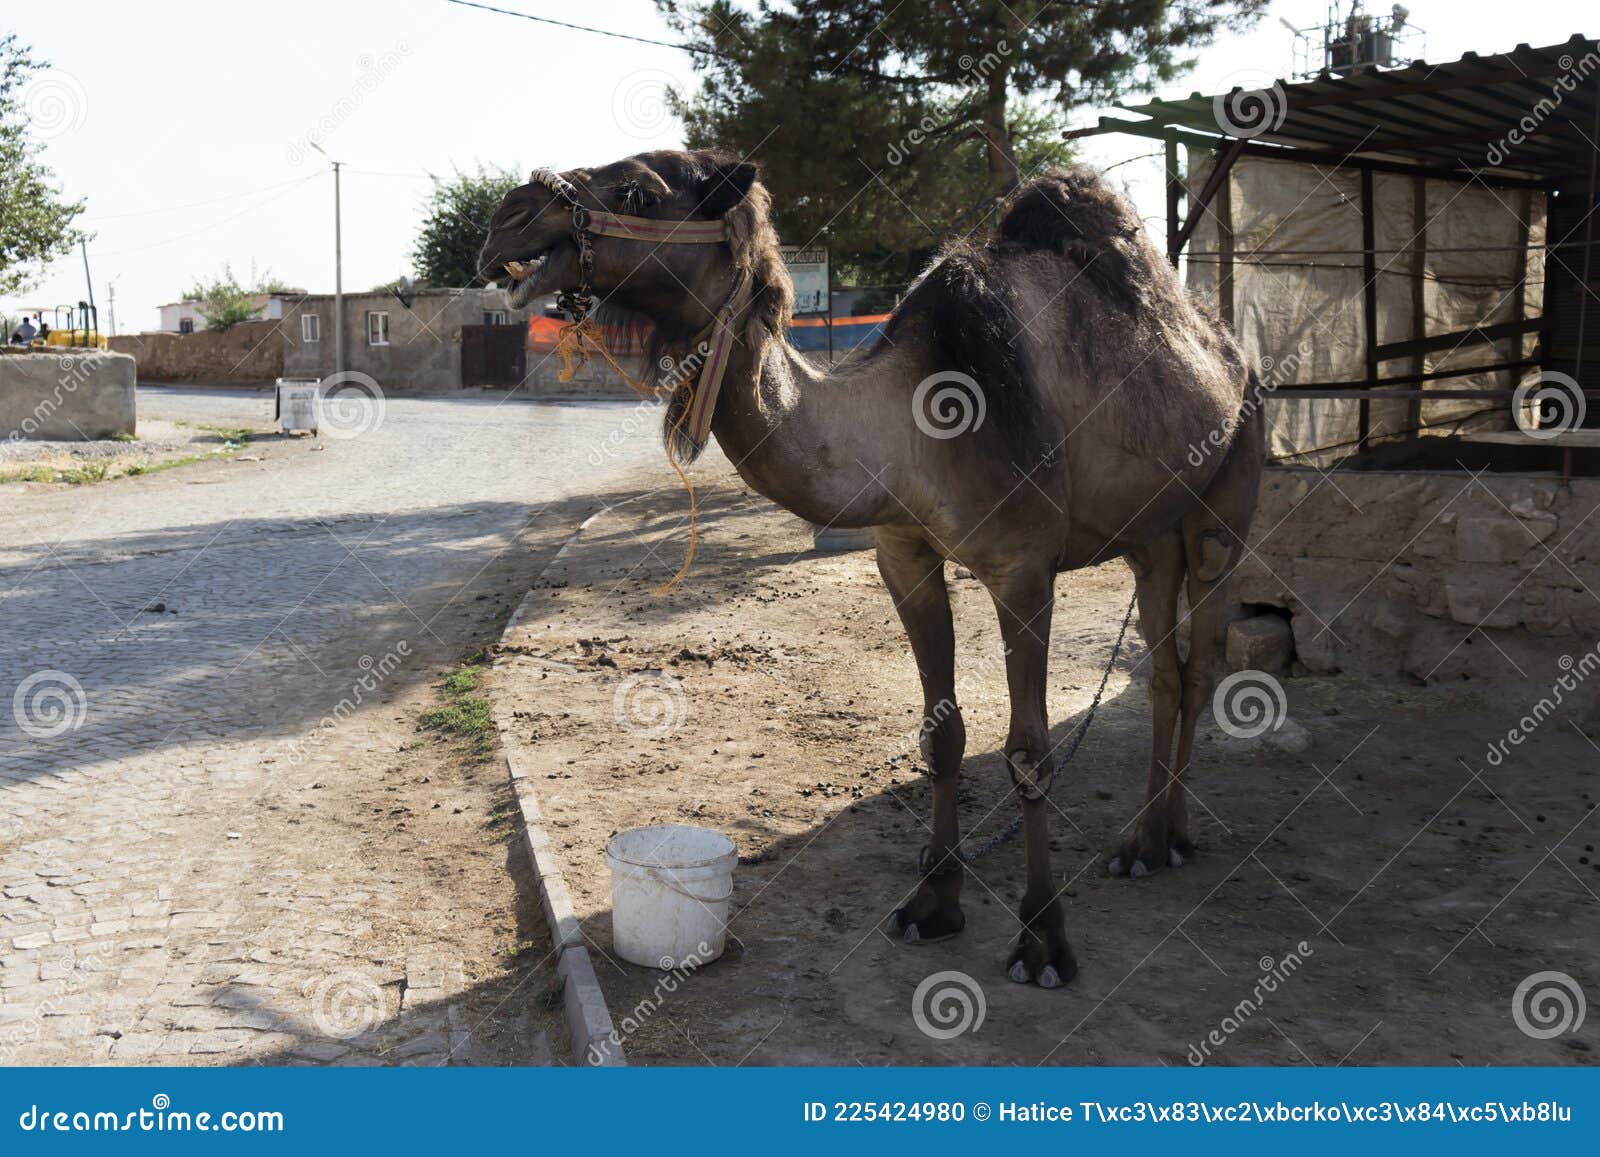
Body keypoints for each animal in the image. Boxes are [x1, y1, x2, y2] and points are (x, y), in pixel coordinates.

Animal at [480, 149, 1263, 987]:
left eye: (639, 192)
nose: (507, 221)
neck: (912, 424)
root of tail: (1227, 349)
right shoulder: (903, 553)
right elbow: (941, 734)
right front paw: (933, 903)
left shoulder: (1022, 568)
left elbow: (1027, 753)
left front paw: (1043, 940)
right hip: (1151, 530)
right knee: (1167, 669)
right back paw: (1145, 841)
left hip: (1223, 504)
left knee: (1201, 662)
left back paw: (1168, 837)